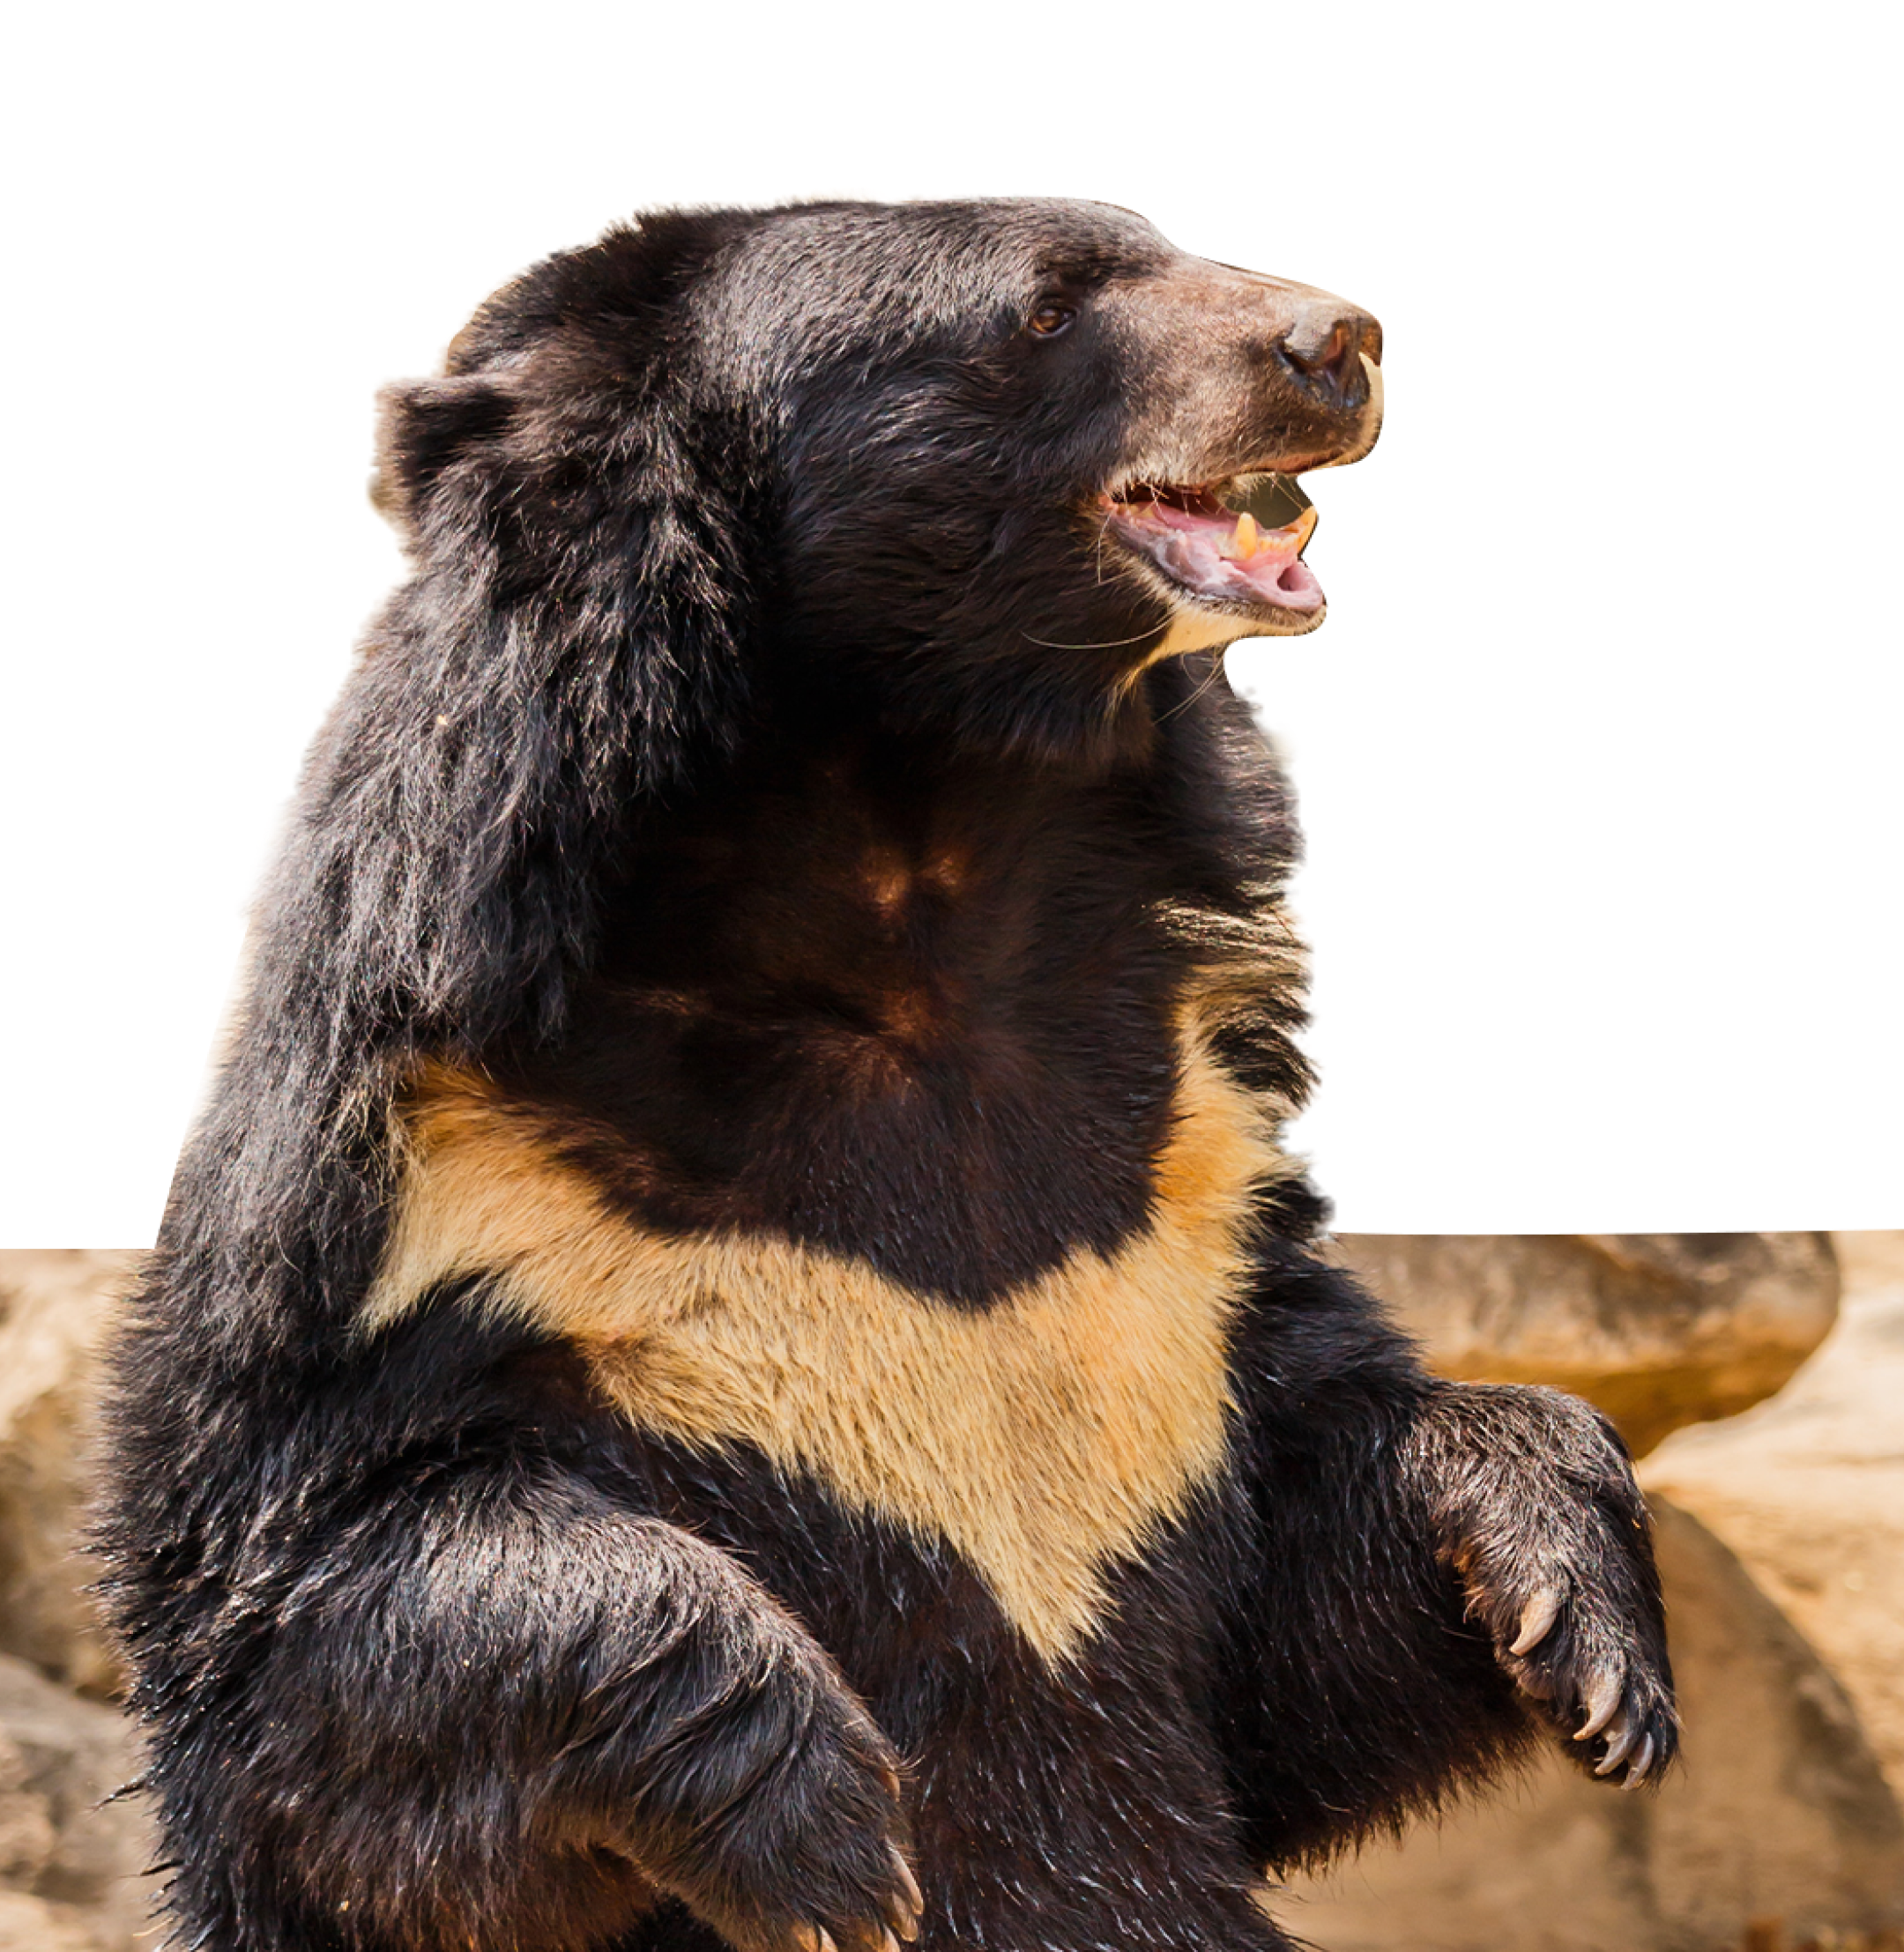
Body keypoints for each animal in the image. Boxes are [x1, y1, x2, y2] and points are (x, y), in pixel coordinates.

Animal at [97, 192, 1676, 1952]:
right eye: (1048, 312)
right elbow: (320, 1617)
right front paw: (837, 1833)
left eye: (1166, 248)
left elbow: (1296, 1583)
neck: (906, 849)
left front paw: (1588, 1640)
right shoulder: (439, 1183)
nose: (1340, 343)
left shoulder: (1184, 1175)